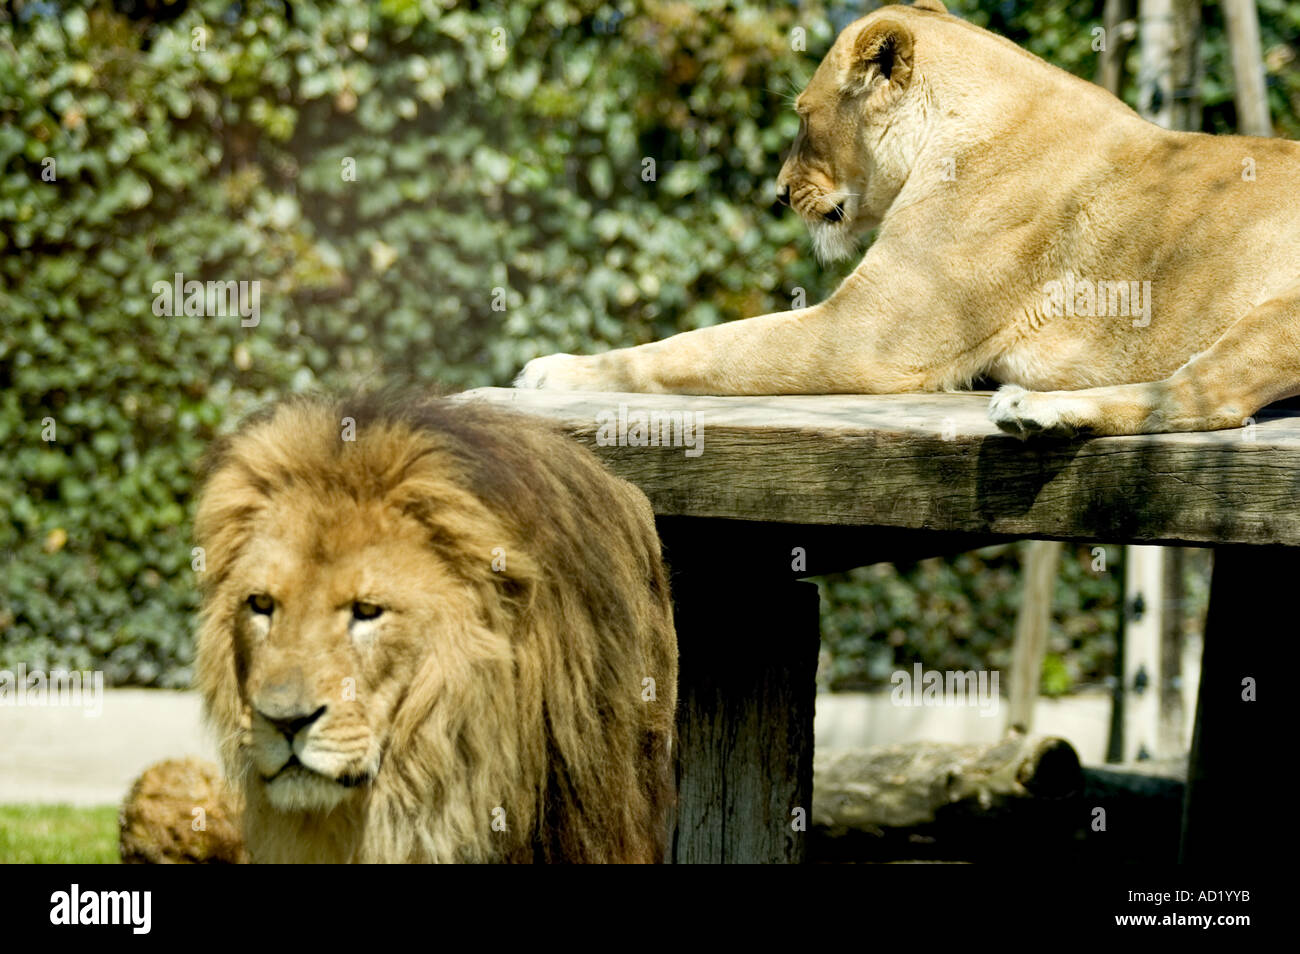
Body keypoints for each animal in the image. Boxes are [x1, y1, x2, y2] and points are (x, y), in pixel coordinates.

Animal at [516, 0, 1300, 438]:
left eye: (803, 117)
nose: (778, 192)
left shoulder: (867, 338)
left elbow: (697, 347)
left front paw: (555, 370)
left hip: (1278, 312)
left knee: (1211, 398)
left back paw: (1039, 412)